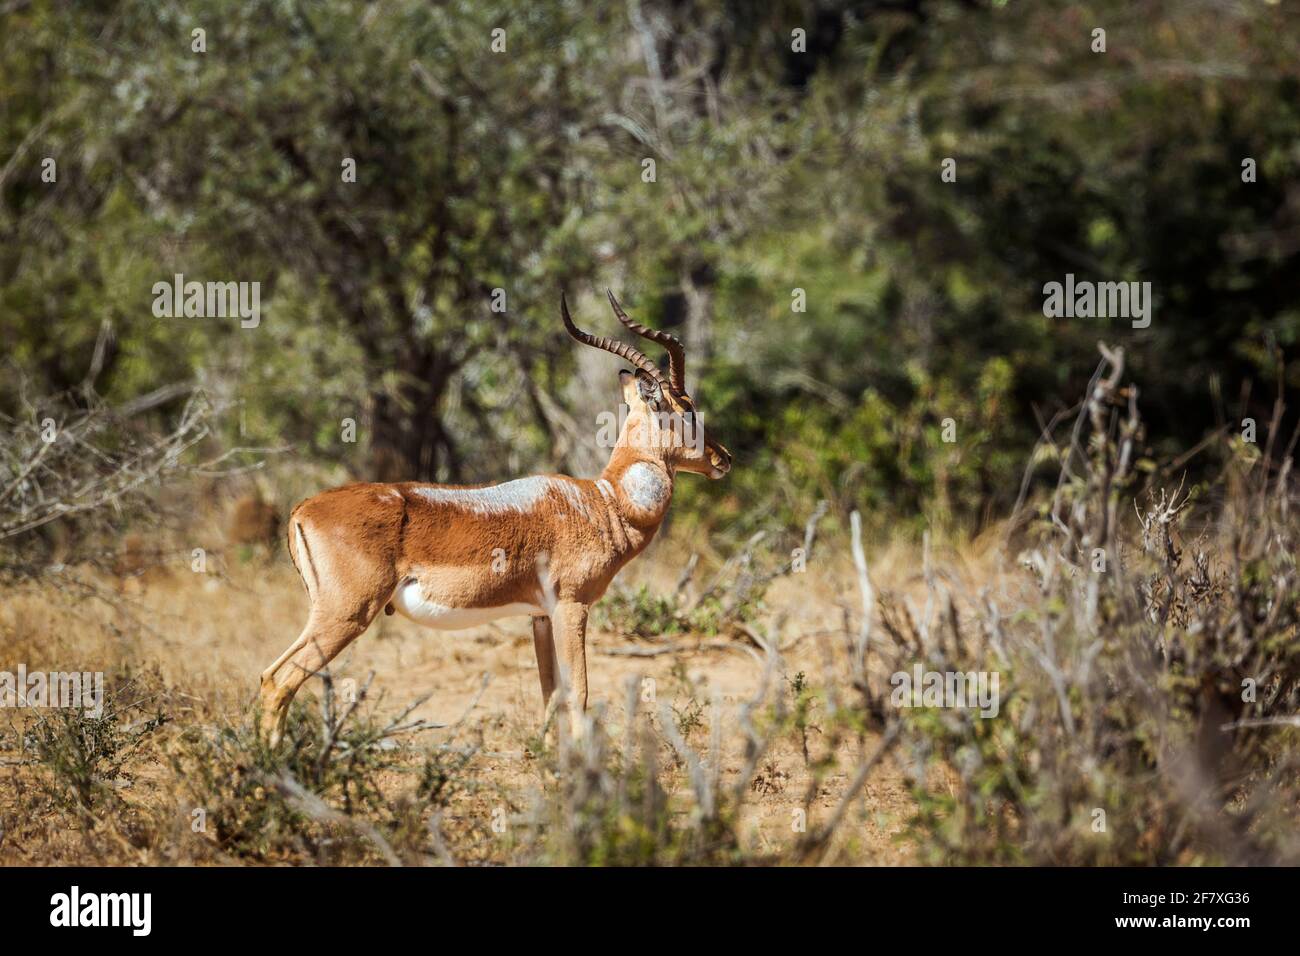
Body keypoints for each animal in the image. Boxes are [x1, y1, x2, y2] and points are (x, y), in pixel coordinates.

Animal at [259, 292, 732, 745]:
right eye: (687, 409)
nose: (723, 458)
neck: (605, 502)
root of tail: (302, 509)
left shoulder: (540, 616)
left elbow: (550, 693)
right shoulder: (572, 606)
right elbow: (578, 691)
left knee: (268, 676)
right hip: (347, 615)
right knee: (279, 681)